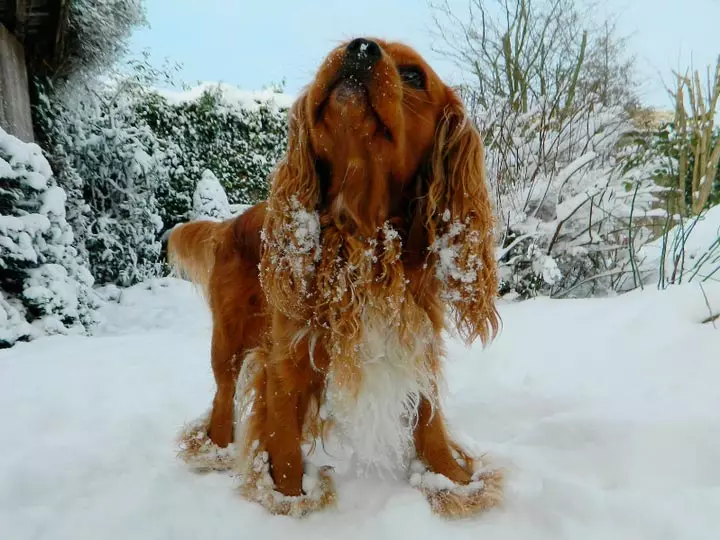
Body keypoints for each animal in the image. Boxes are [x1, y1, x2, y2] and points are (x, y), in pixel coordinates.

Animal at [170, 38, 500, 520]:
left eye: (415, 76)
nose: (361, 46)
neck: (360, 234)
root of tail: (235, 220)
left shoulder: (416, 335)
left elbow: (430, 416)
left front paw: (454, 481)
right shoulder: (286, 354)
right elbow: (284, 437)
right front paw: (289, 497)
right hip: (228, 340)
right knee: (222, 394)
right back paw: (216, 448)